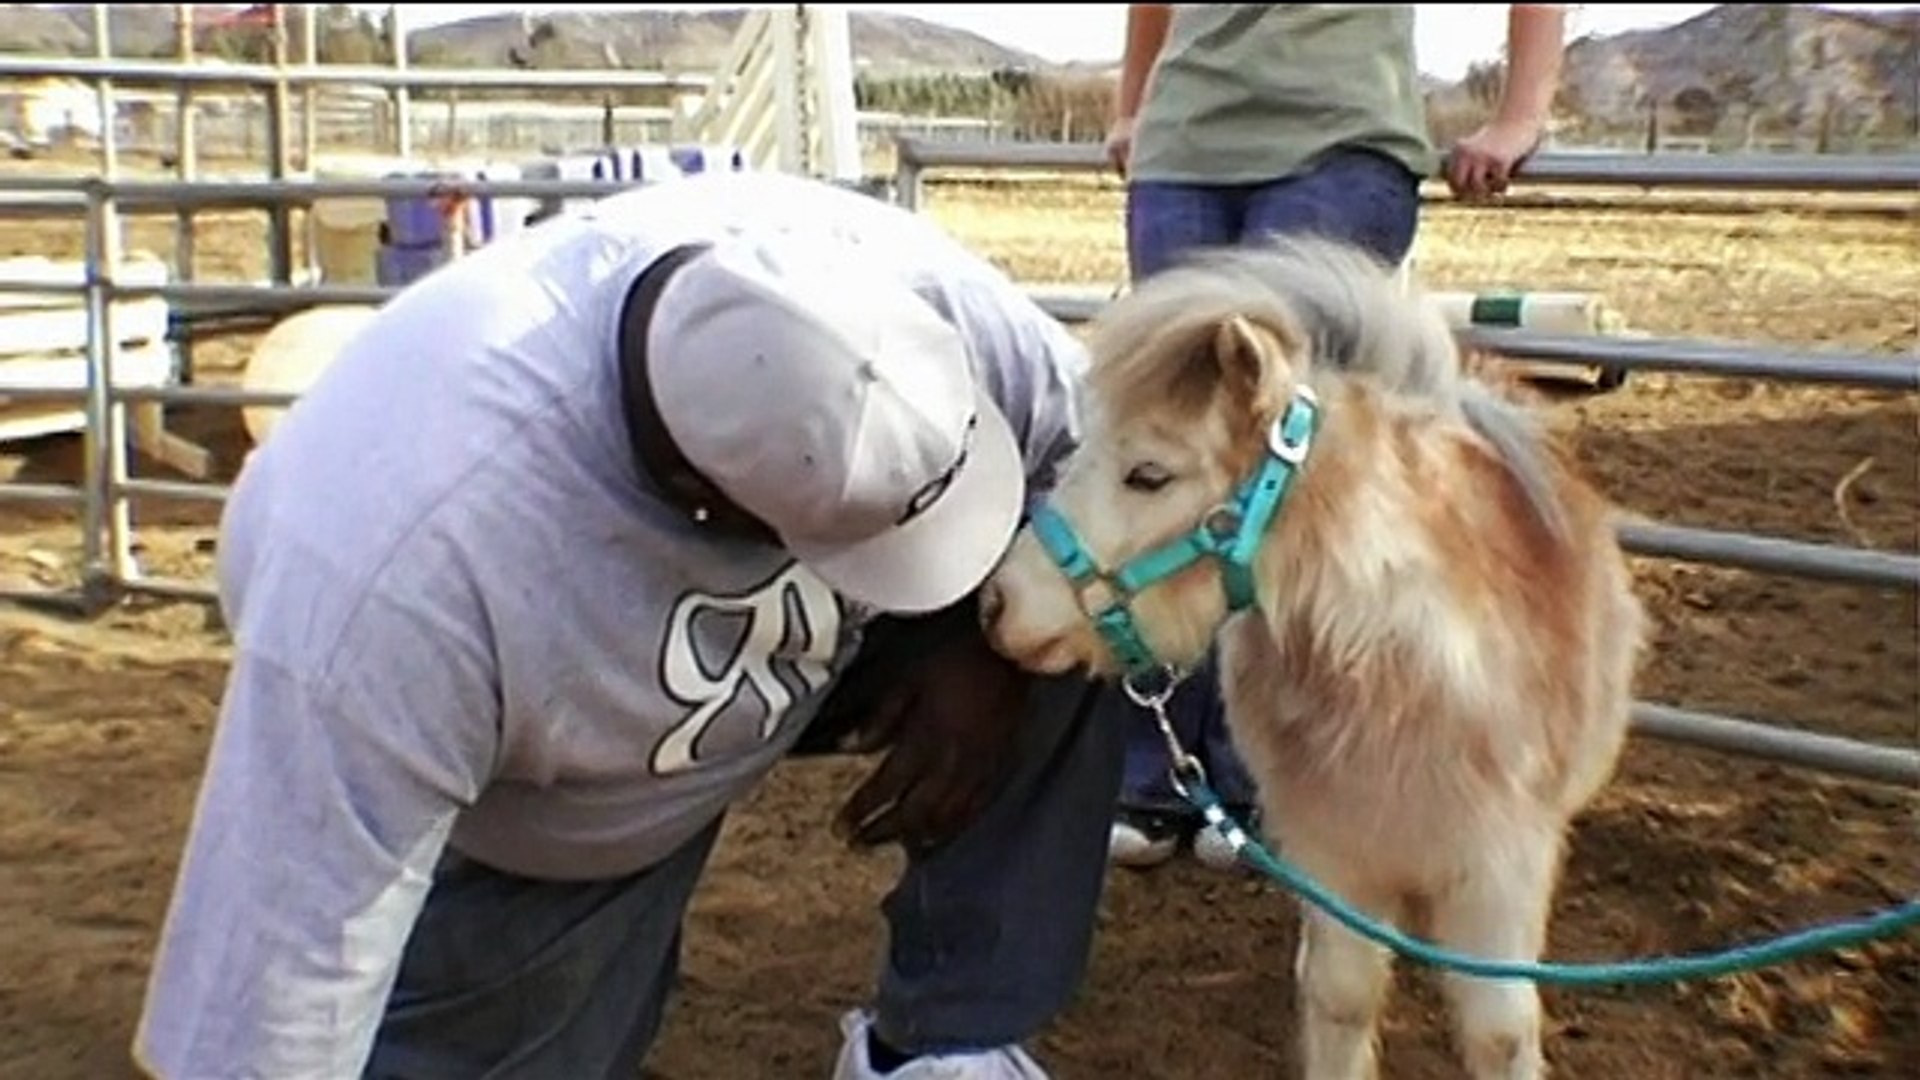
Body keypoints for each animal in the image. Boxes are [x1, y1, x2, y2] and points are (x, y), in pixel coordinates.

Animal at [980, 235, 1647, 1080]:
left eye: (1150, 474)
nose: (998, 606)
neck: (1414, 678)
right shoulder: (1338, 860)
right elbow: (1340, 995)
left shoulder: (1499, 877)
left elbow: (1498, 1030)